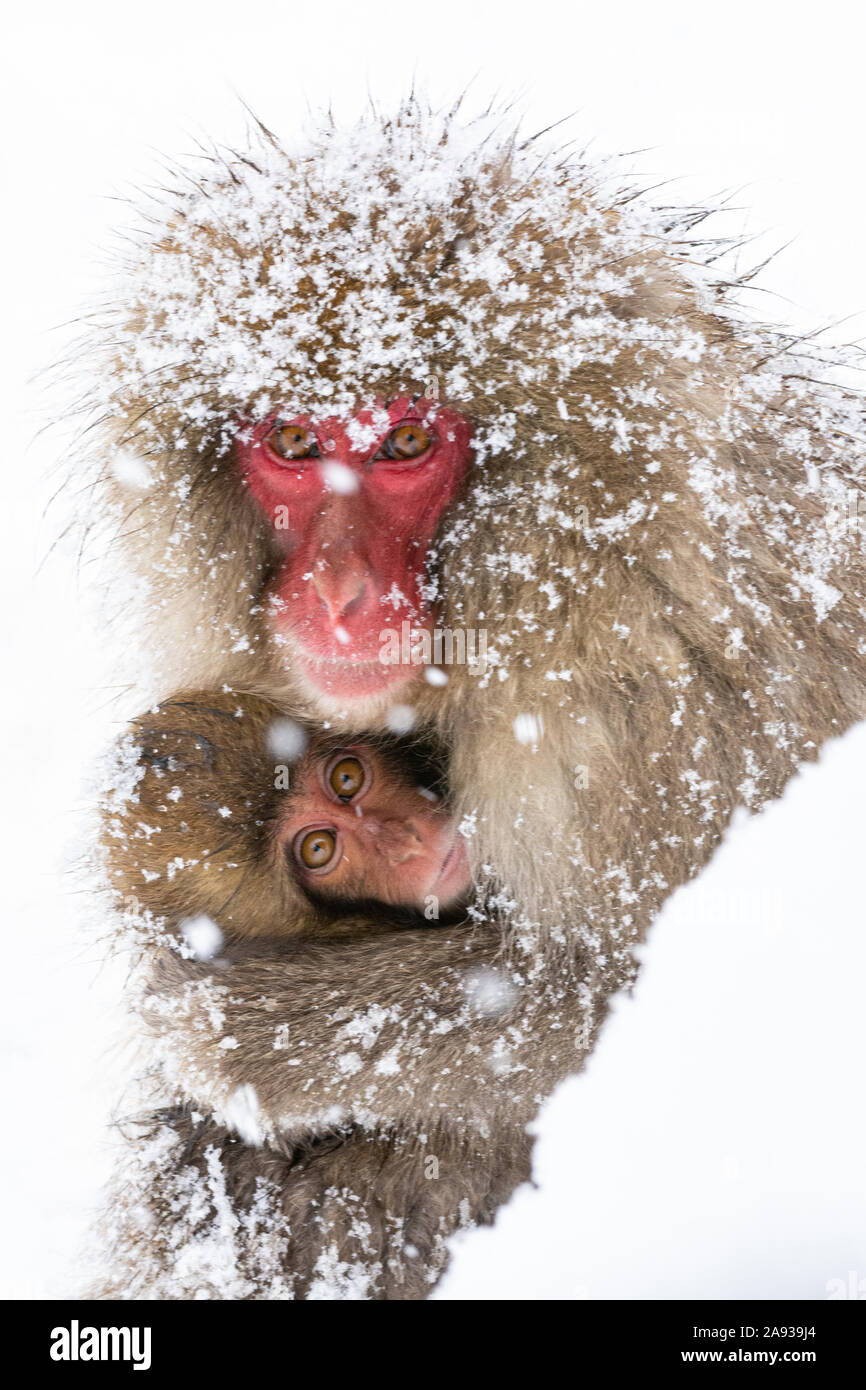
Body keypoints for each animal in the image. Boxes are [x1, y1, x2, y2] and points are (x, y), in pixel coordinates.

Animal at [80, 102, 866, 1298]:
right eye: (294, 444)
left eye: (406, 442)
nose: (338, 594)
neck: (594, 579)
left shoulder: (641, 731)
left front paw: (247, 1031)